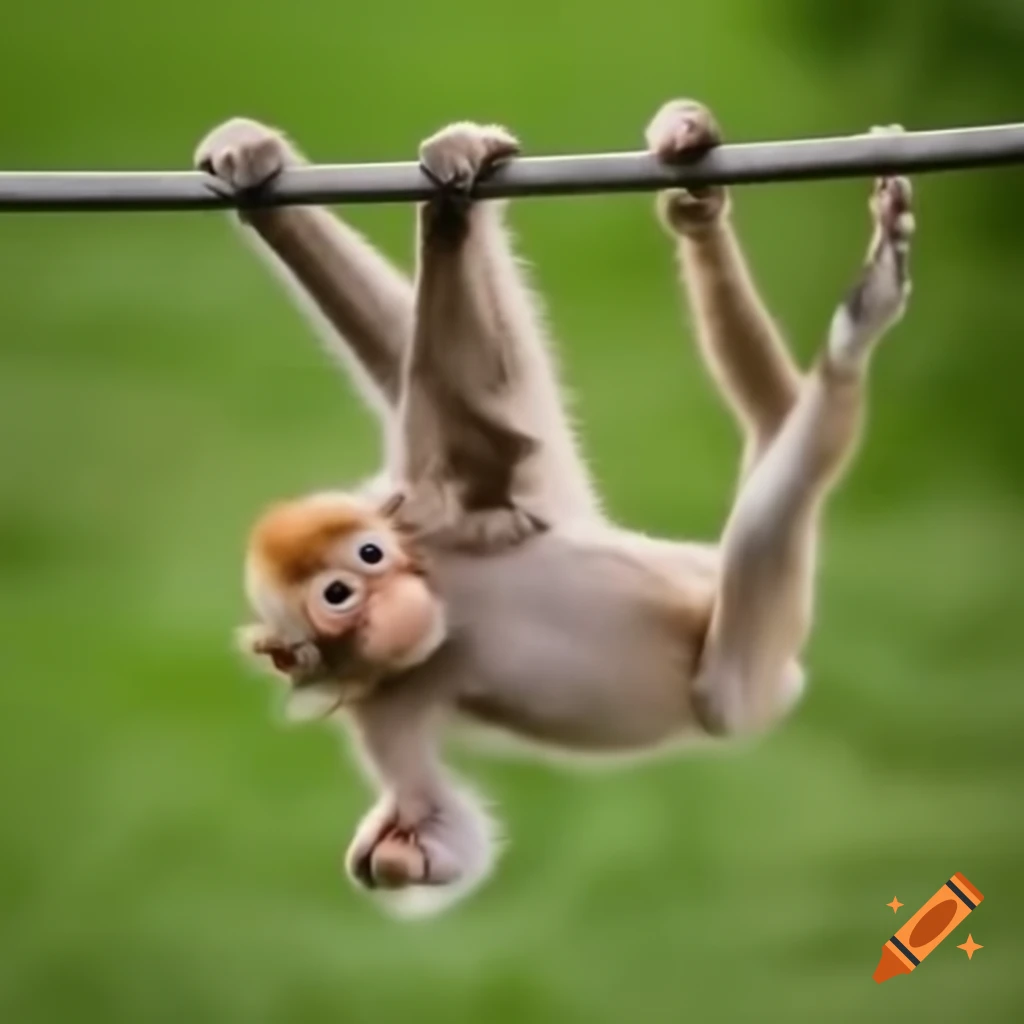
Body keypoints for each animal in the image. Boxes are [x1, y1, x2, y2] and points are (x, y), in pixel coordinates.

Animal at [195, 99, 915, 915]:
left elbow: (475, 406)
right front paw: (401, 850)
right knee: (738, 621)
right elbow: (444, 835)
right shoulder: (384, 703)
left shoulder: (445, 513)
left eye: (370, 556)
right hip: (754, 654)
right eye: (338, 595)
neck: (446, 600)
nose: (387, 596)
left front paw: (438, 196)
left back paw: (843, 317)